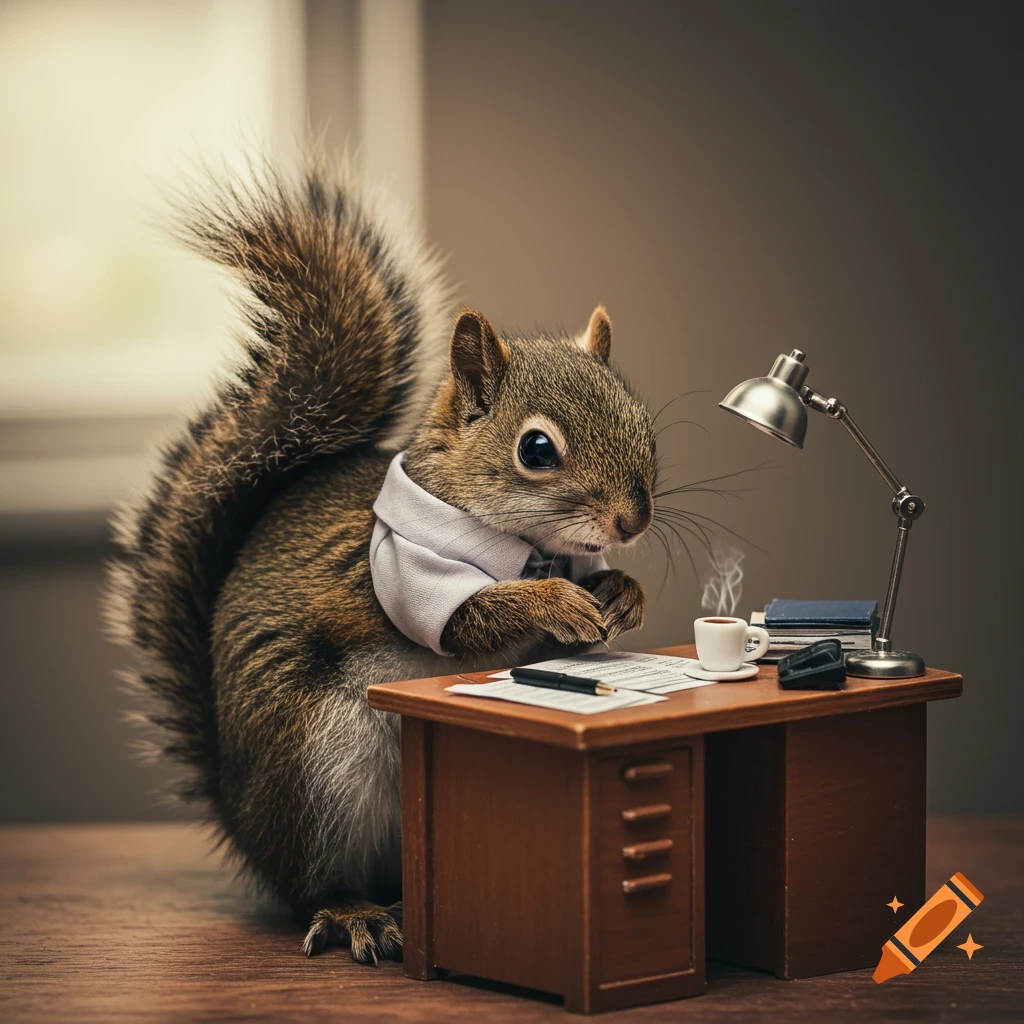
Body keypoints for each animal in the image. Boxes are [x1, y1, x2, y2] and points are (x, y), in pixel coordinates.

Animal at [105, 158, 656, 965]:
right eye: (536, 449)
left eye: (641, 420)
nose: (632, 520)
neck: (519, 544)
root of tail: (238, 812)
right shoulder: (394, 573)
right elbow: (470, 623)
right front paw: (550, 602)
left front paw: (623, 592)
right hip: (311, 767)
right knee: (313, 882)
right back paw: (357, 913)